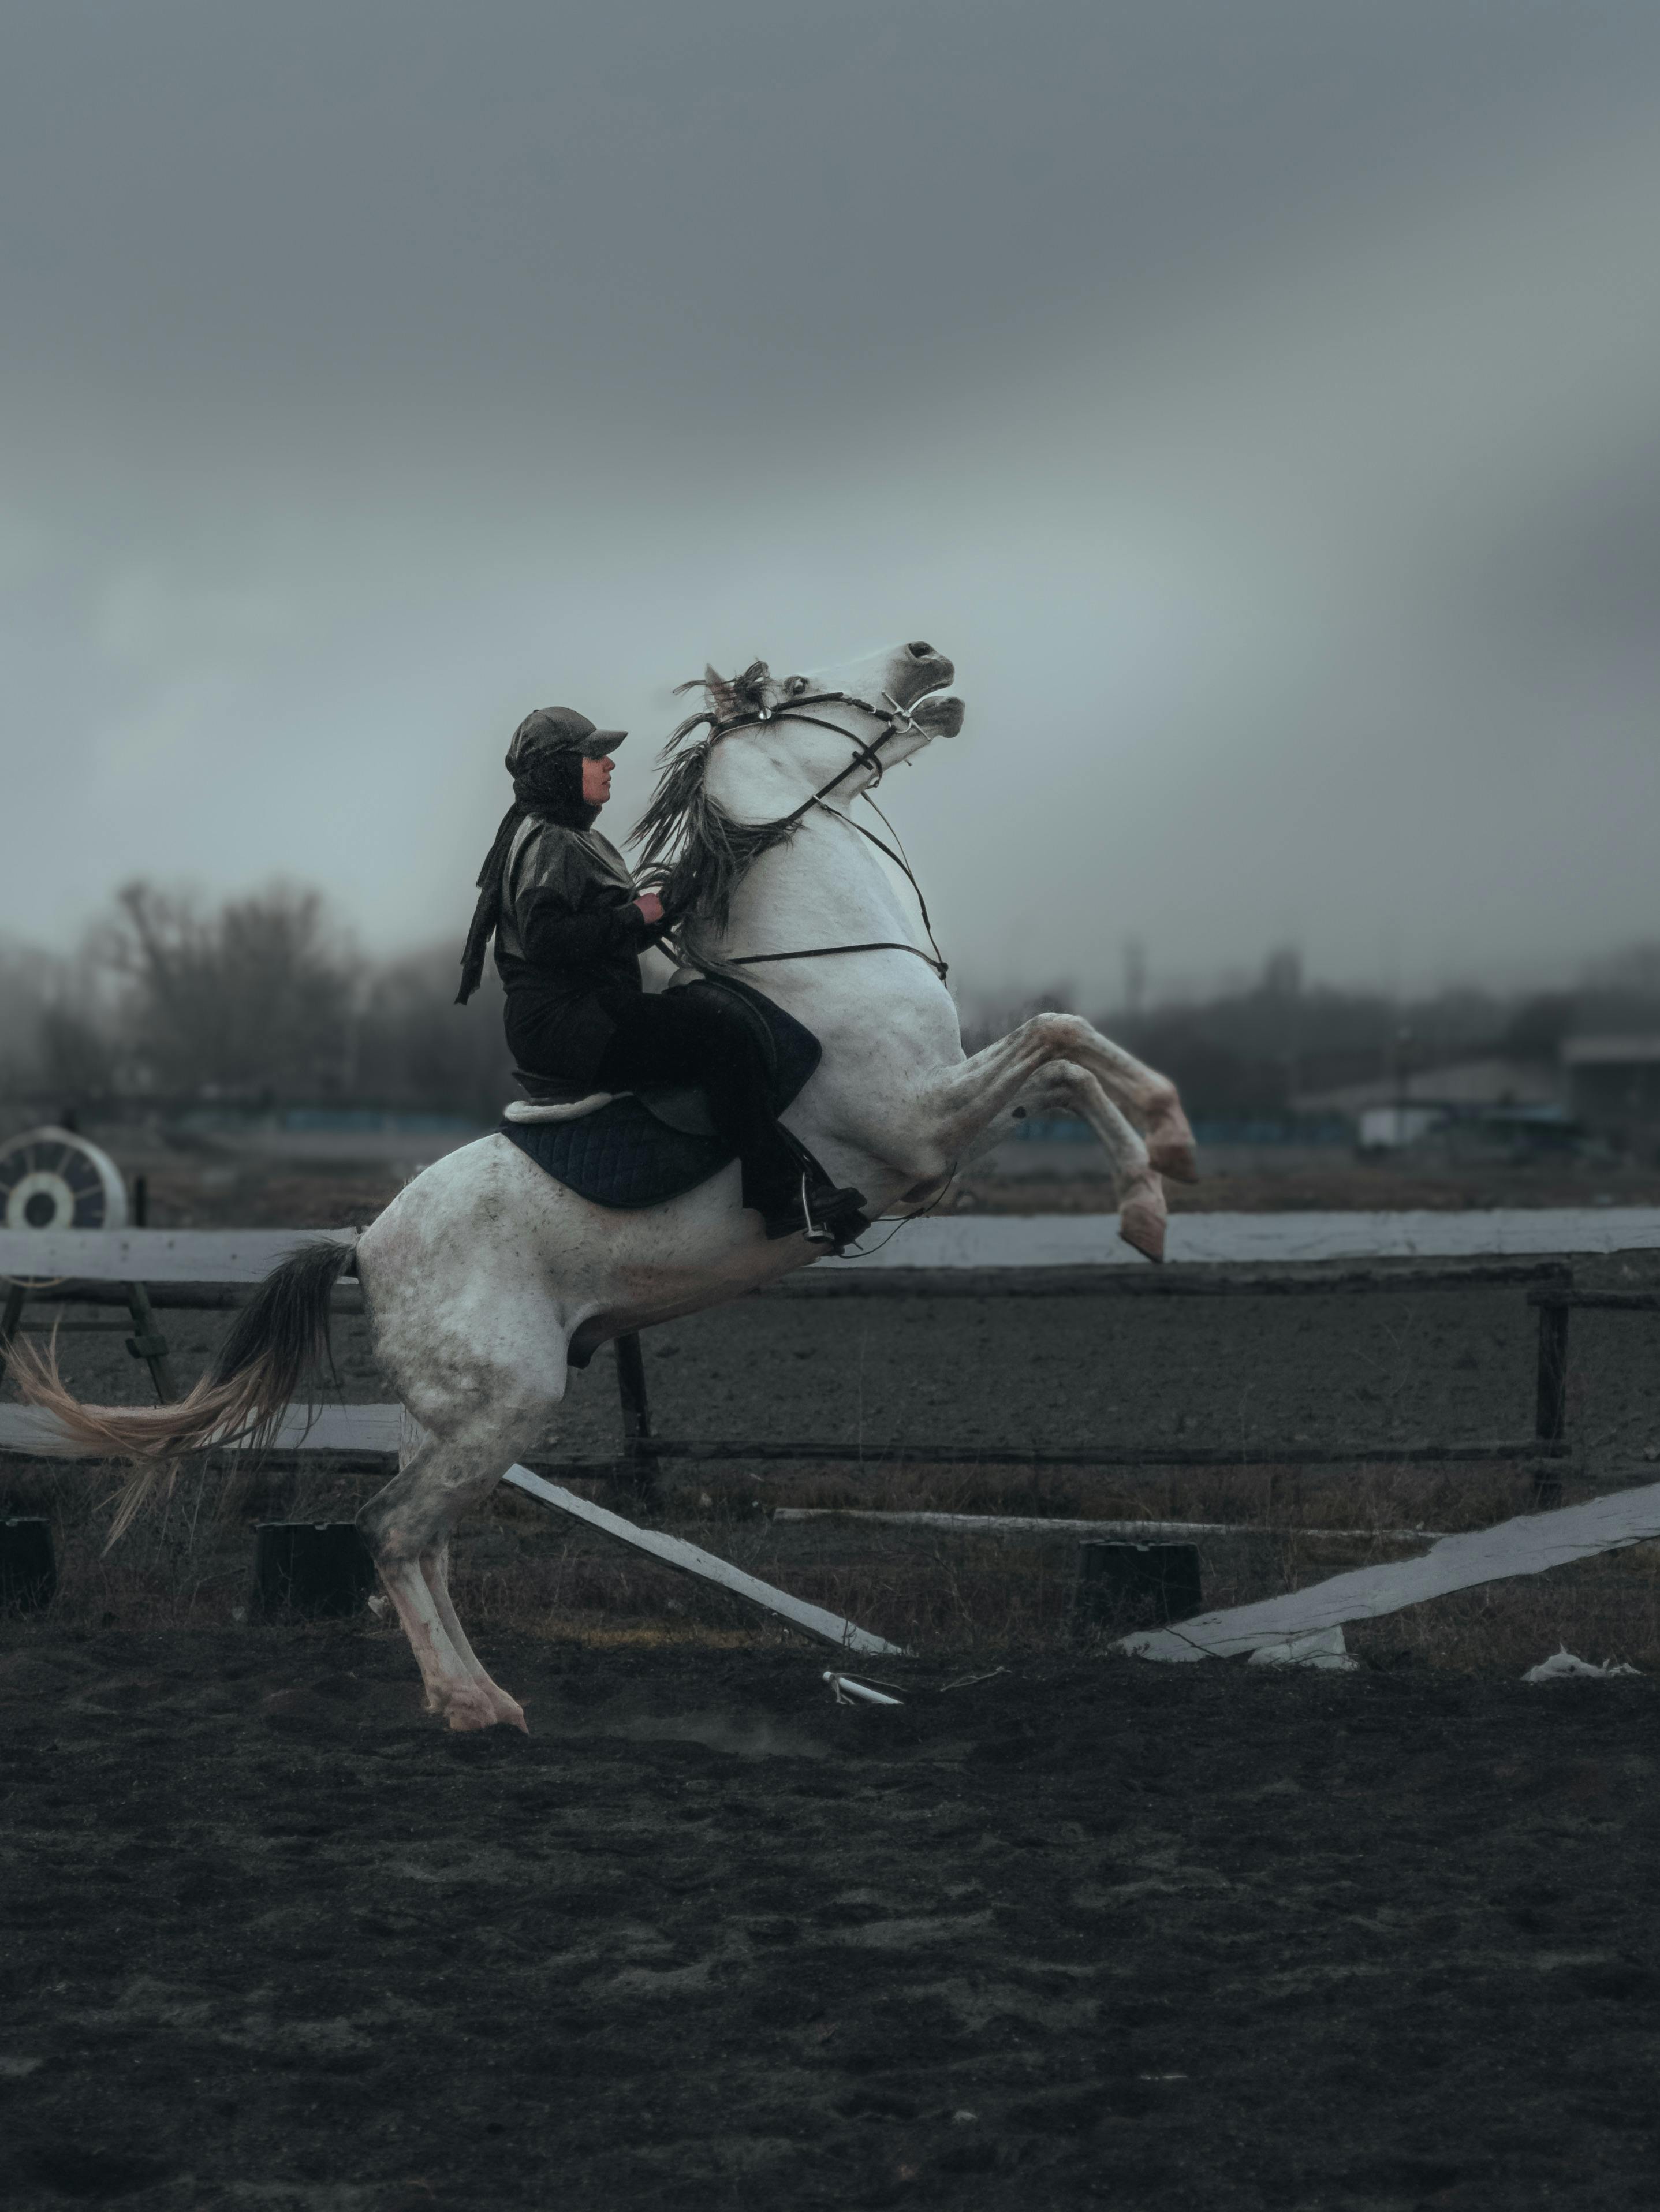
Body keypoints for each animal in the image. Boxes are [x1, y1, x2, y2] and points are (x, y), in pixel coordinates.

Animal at [16, 639, 1195, 1731]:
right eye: (798, 681)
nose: (925, 656)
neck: (824, 962)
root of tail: (363, 1242)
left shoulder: (952, 1121)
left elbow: (1068, 1061)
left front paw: (1150, 1200)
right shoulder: (921, 1124)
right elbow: (1060, 1036)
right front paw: (1169, 1152)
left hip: (451, 1416)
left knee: (425, 1542)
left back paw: (482, 1694)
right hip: (508, 1400)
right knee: (394, 1529)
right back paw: (470, 1704)